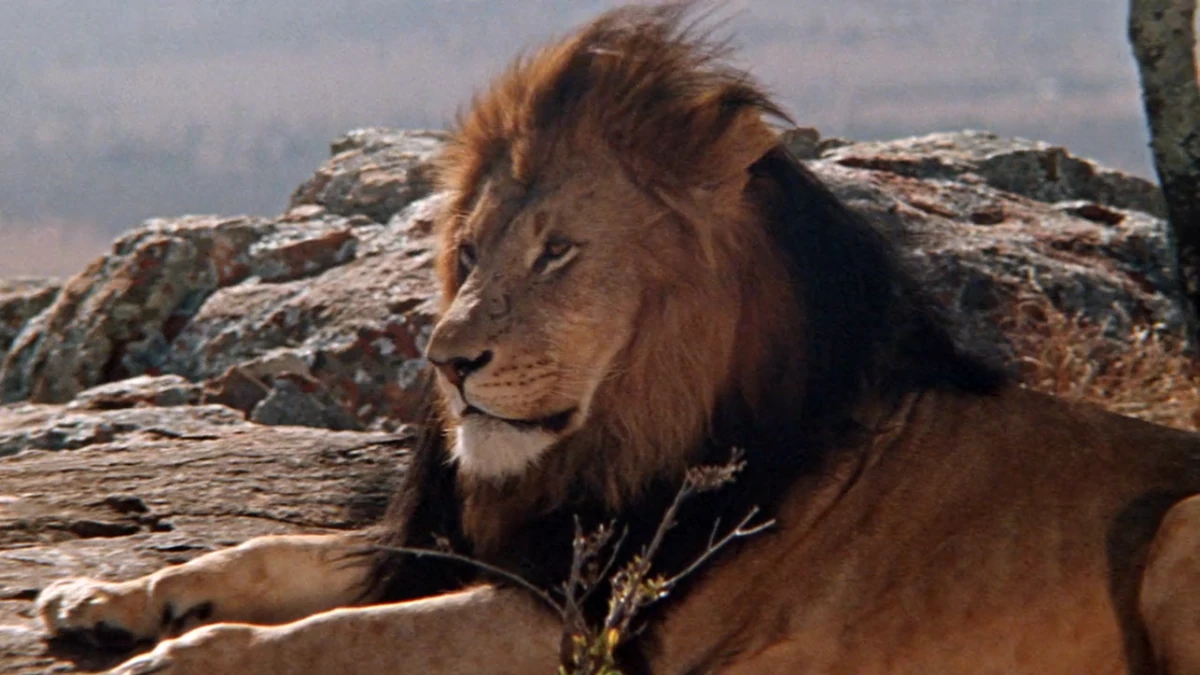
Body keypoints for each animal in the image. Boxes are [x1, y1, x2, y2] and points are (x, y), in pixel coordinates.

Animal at [34, 4, 1200, 674]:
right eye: (469, 249)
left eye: (558, 253)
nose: (446, 365)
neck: (619, 433)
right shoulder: (482, 547)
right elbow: (278, 553)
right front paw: (110, 599)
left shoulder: (584, 627)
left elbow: (335, 637)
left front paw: (173, 659)